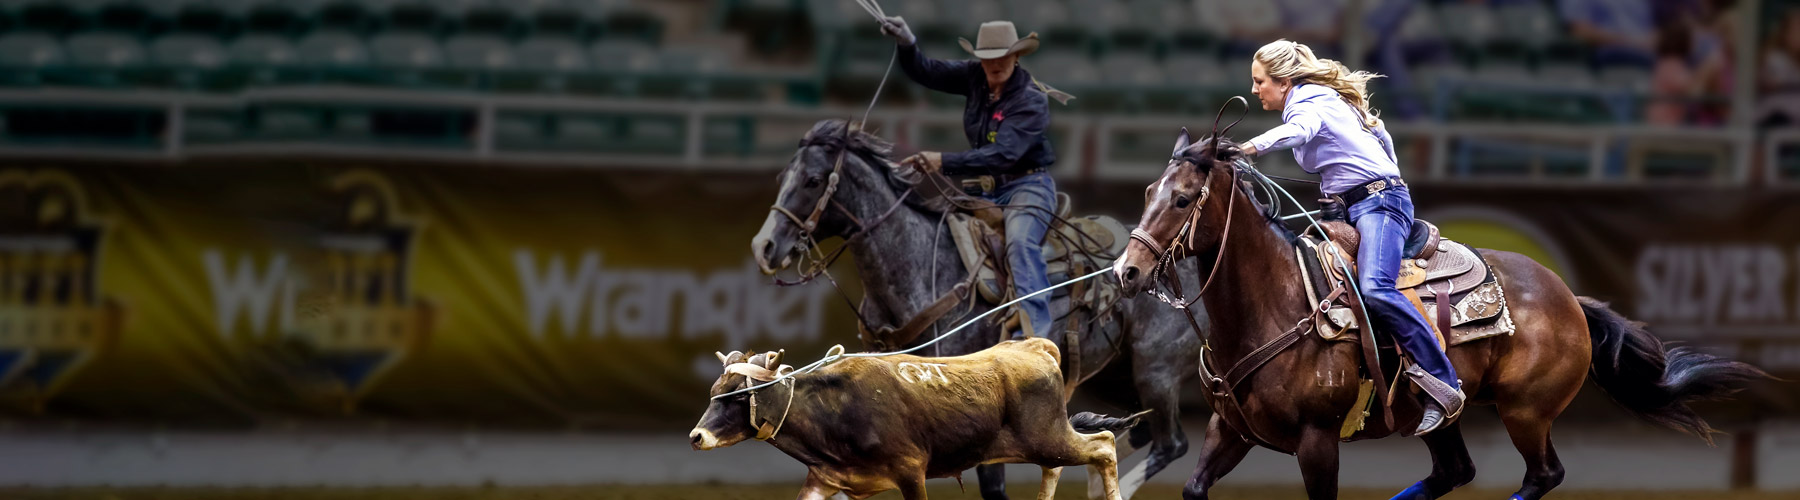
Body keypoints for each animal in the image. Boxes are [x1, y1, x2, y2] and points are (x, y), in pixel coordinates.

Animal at [751, 119, 1204, 500]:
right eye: (781, 178)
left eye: (813, 180)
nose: (765, 247)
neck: (918, 266)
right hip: (1124, 371)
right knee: (1135, 432)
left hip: (1156, 368)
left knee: (1171, 442)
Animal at [1110, 129, 1772, 500]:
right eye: (1145, 193)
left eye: (1184, 198)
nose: (1127, 272)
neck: (1271, 305)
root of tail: (1570, 300)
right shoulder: (1230, 430)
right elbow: (1194, 487)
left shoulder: (1318, 441)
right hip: (1437, 416)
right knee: (1456, 470)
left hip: (1526, 412)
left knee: (1543, 476)